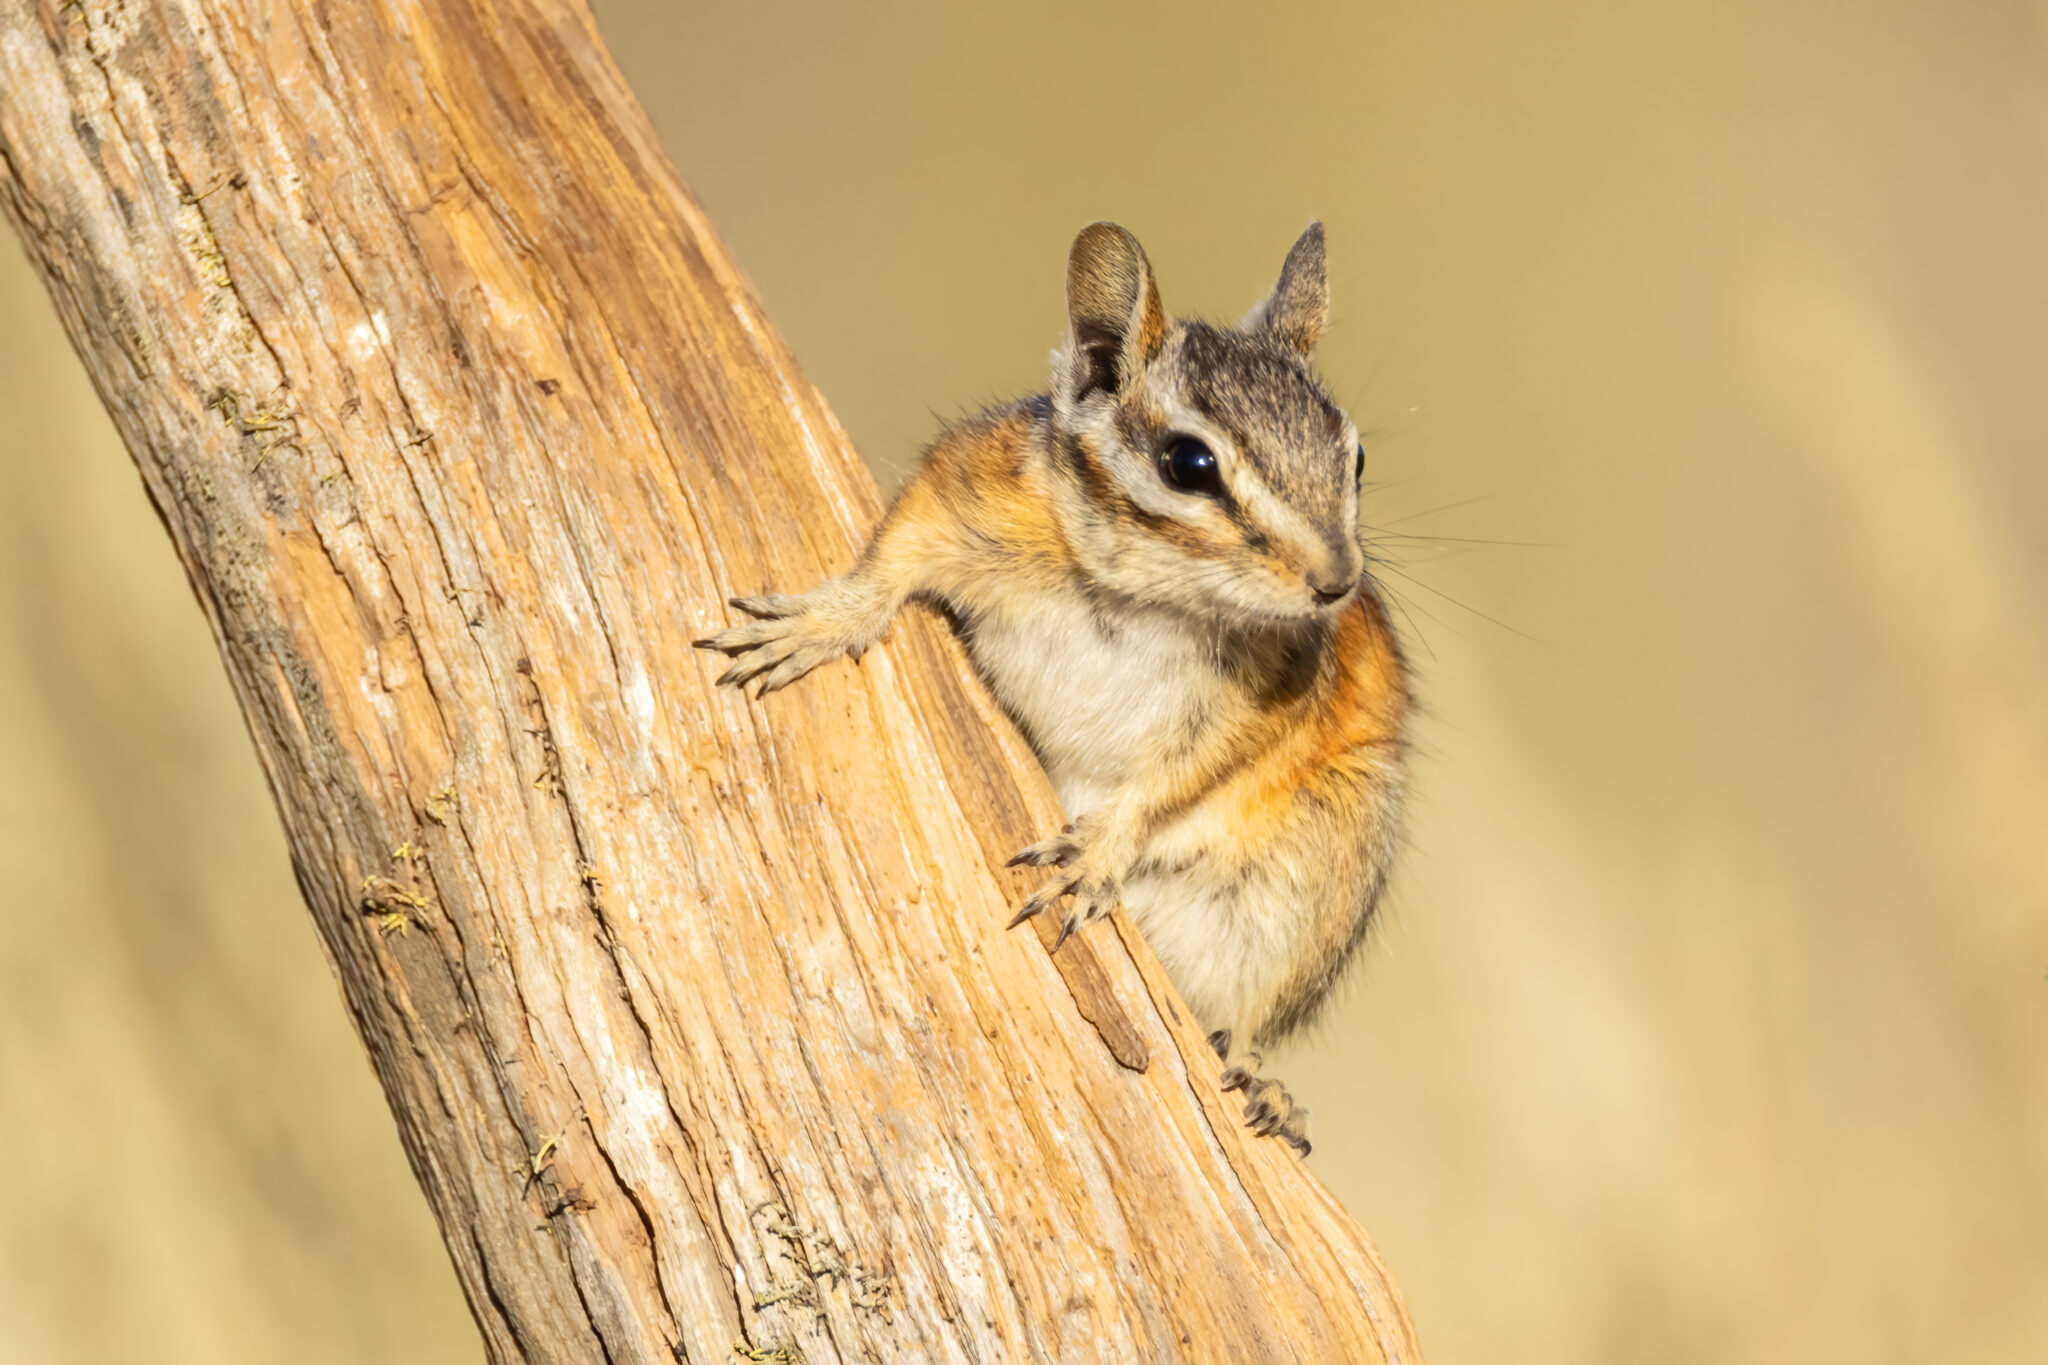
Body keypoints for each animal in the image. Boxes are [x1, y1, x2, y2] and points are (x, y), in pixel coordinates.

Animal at [698, 222, 1410, 1155]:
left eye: (1354, 457)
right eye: (1188, 463)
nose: (1338, 581)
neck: (1143, 592)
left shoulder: (1268, 696)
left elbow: (1177, 780)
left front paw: (1099, 850)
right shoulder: (973, 488)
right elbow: (889, 560)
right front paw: (820, 620)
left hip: (1323, 864)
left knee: (1245, 1013)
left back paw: (1264, 1082)